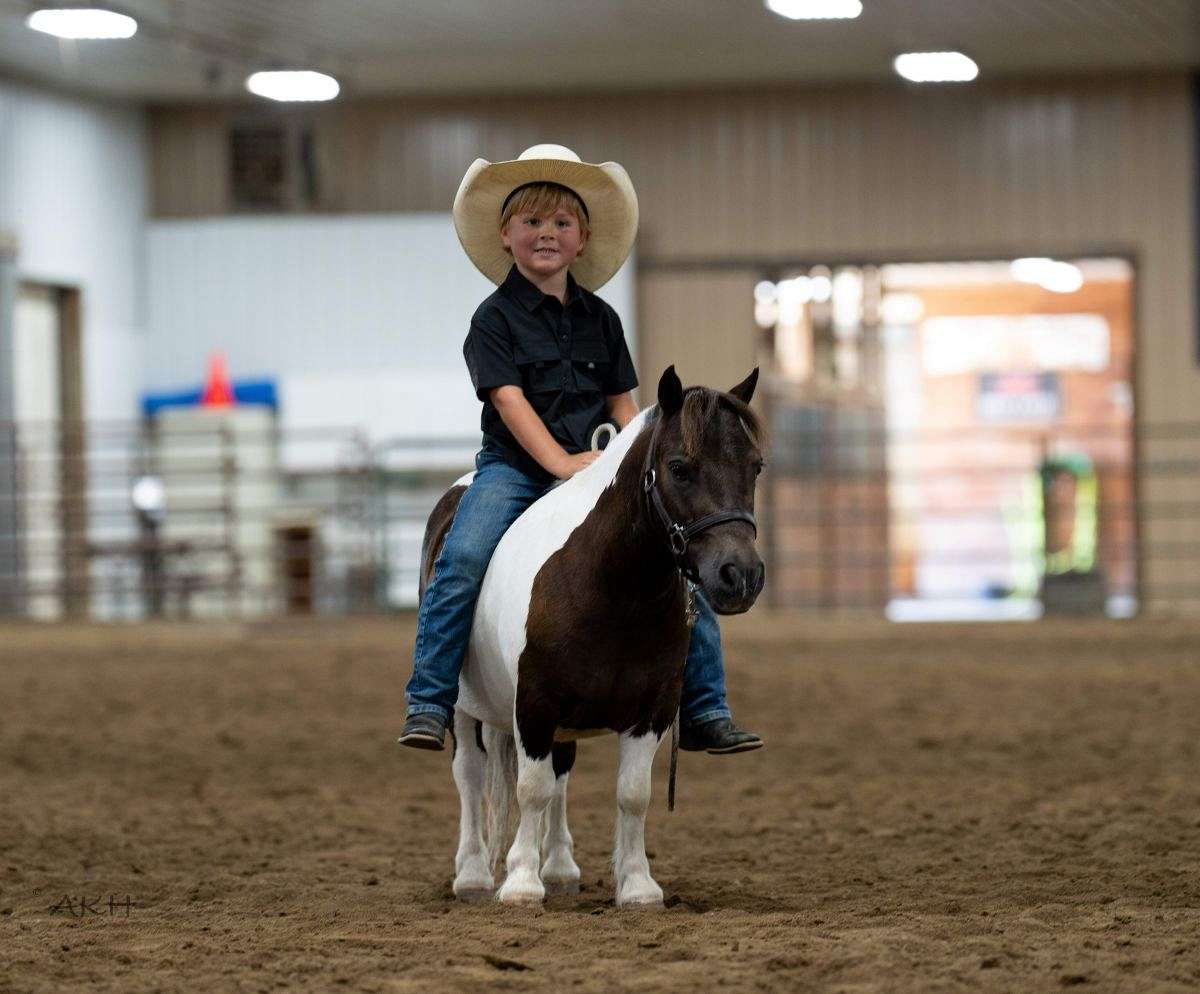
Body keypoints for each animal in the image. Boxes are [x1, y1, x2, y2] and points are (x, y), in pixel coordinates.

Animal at [418, 365, 766, 907]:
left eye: (755, 466)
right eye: (679, 467)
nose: (741, 576)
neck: (611, 590)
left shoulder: (651, 713)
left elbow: (632, 794)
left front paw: (637, 886)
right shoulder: (534, 706)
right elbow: (531, 789)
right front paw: (521, 884)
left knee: (560, 774)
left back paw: (560, 869)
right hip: (462, 706)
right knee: (471, 776)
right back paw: (473, 875)